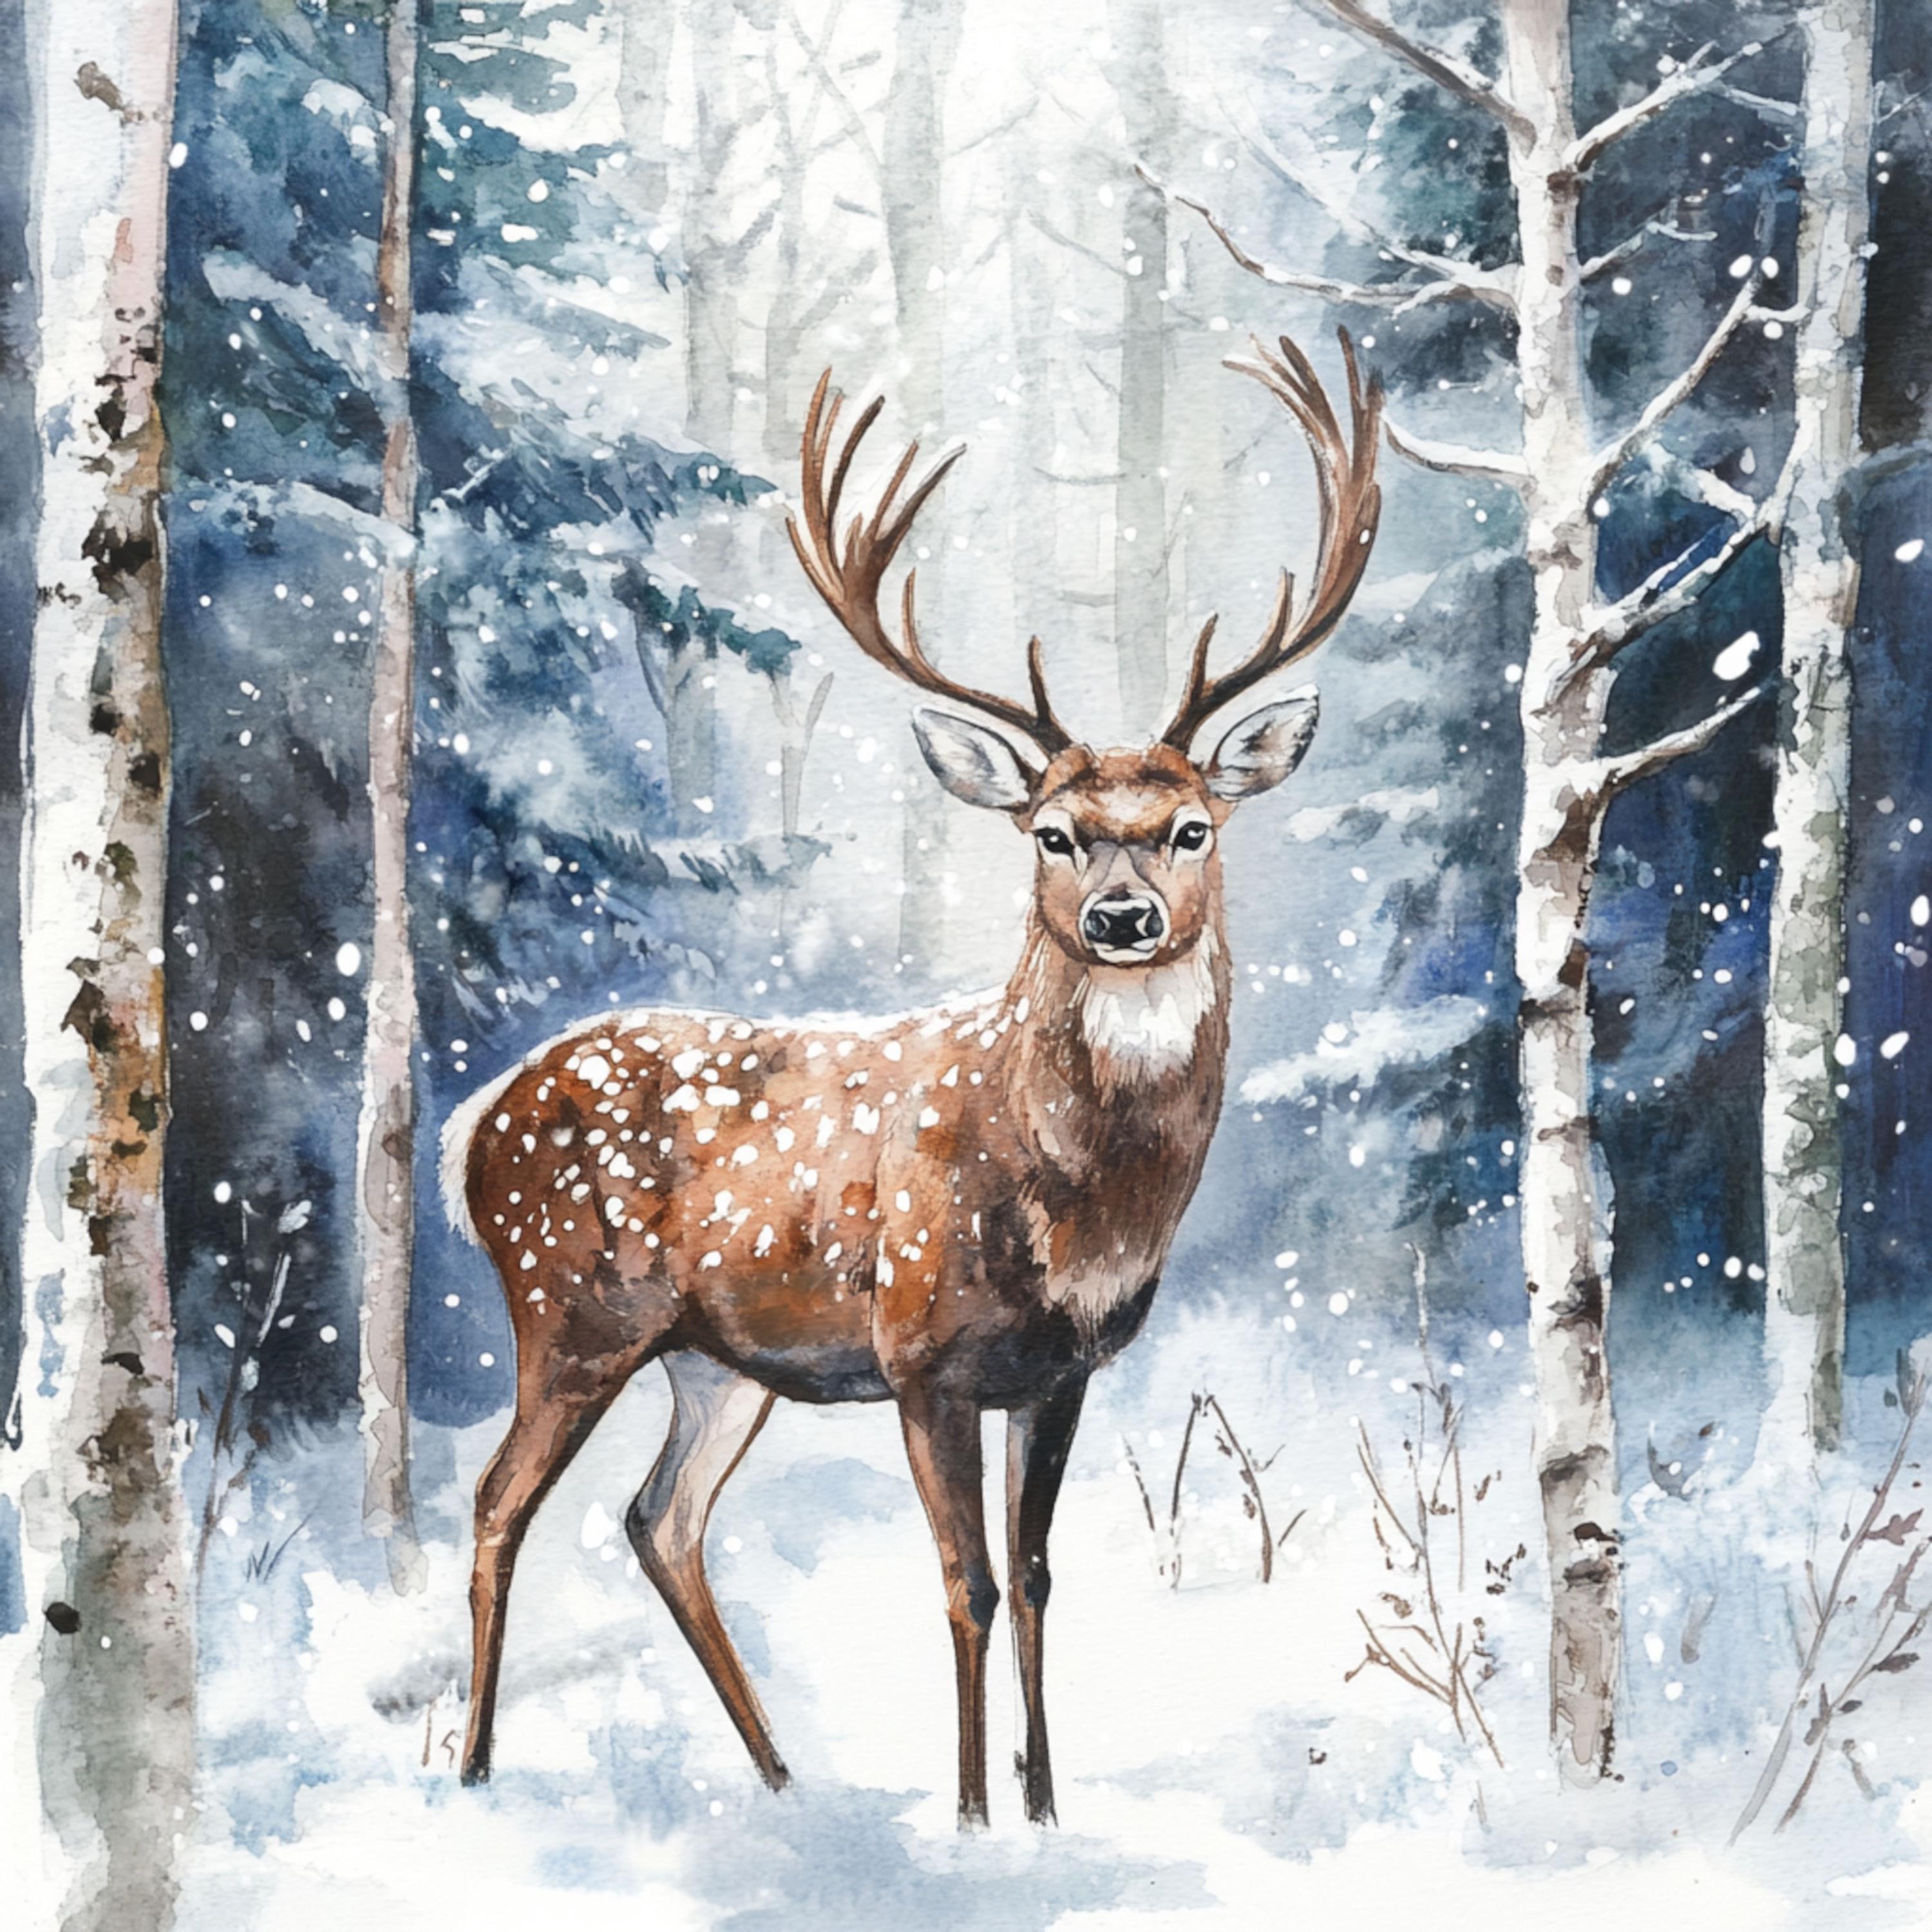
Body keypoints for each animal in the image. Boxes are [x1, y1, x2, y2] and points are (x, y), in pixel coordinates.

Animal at [446, 328, 1382, 1825]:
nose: (1125, 917)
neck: (1079, 1205)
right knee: (497, 1504)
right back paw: (476, 1772)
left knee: (661, 1520)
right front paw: (972, 1816)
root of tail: (474, 1126)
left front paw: (1047, 1808)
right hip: (570, 1306)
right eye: (1053, 832)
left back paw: (780, 1777)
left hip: (717, 1358)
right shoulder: (921, 1351)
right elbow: (969, 1583)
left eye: (1190, 826)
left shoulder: (1061, 1371)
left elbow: (1044, 1578)